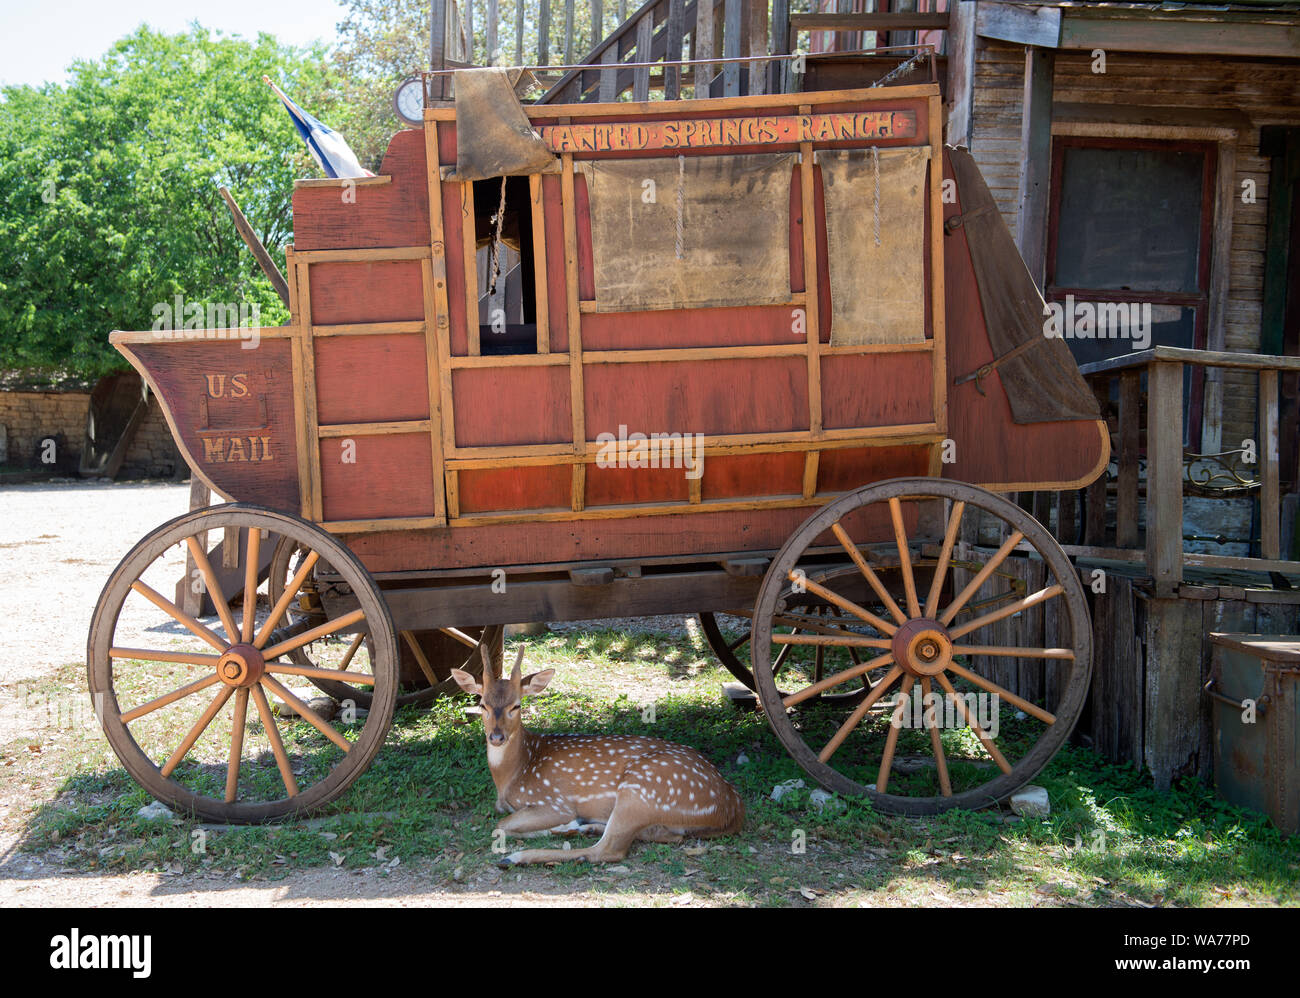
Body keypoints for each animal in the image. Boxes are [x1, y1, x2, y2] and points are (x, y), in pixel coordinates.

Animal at [451, 645, 745, 865]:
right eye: (482, 704)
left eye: (517, 705)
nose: (496, 737)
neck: (513, 773)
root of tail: (731, 808)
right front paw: (569, 826)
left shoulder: (554, 801)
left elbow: (502, 824)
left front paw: (564, 825)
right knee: (664, 836)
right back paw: (583, 828)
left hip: (641, 790)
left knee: (609, 850)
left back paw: (517, 857)